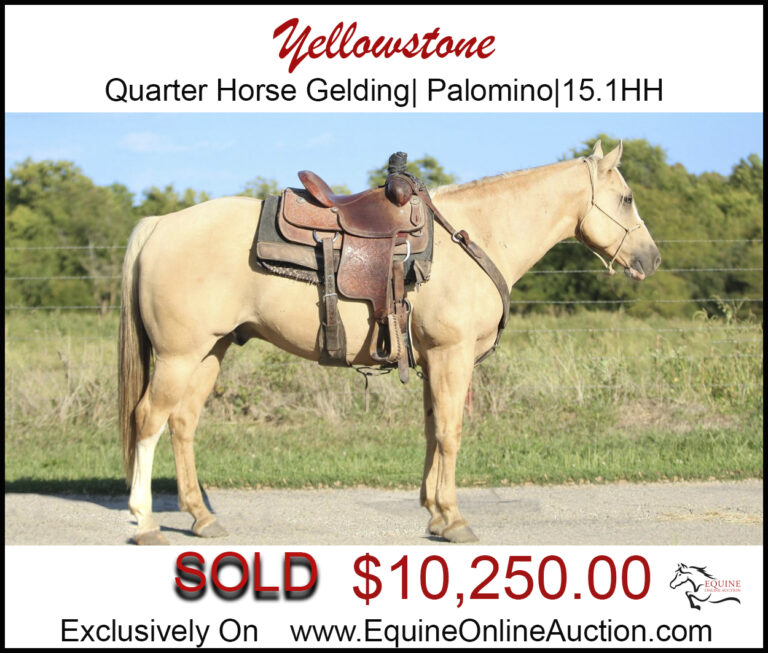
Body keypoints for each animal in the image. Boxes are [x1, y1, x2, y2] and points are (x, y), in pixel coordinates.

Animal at [119, 140, 661, 545]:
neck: (478, 237)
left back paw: (201, 517)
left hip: (210, 352)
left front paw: (435, 514)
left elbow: (432, 431)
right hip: (179, 356)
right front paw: (454, 519)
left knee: (182, 425)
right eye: (627, 198)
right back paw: (145, 522)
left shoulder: (433, 361)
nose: (651, 258)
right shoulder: (451, 356)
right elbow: (450, 433)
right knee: (148, 420)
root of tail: (158, 225)